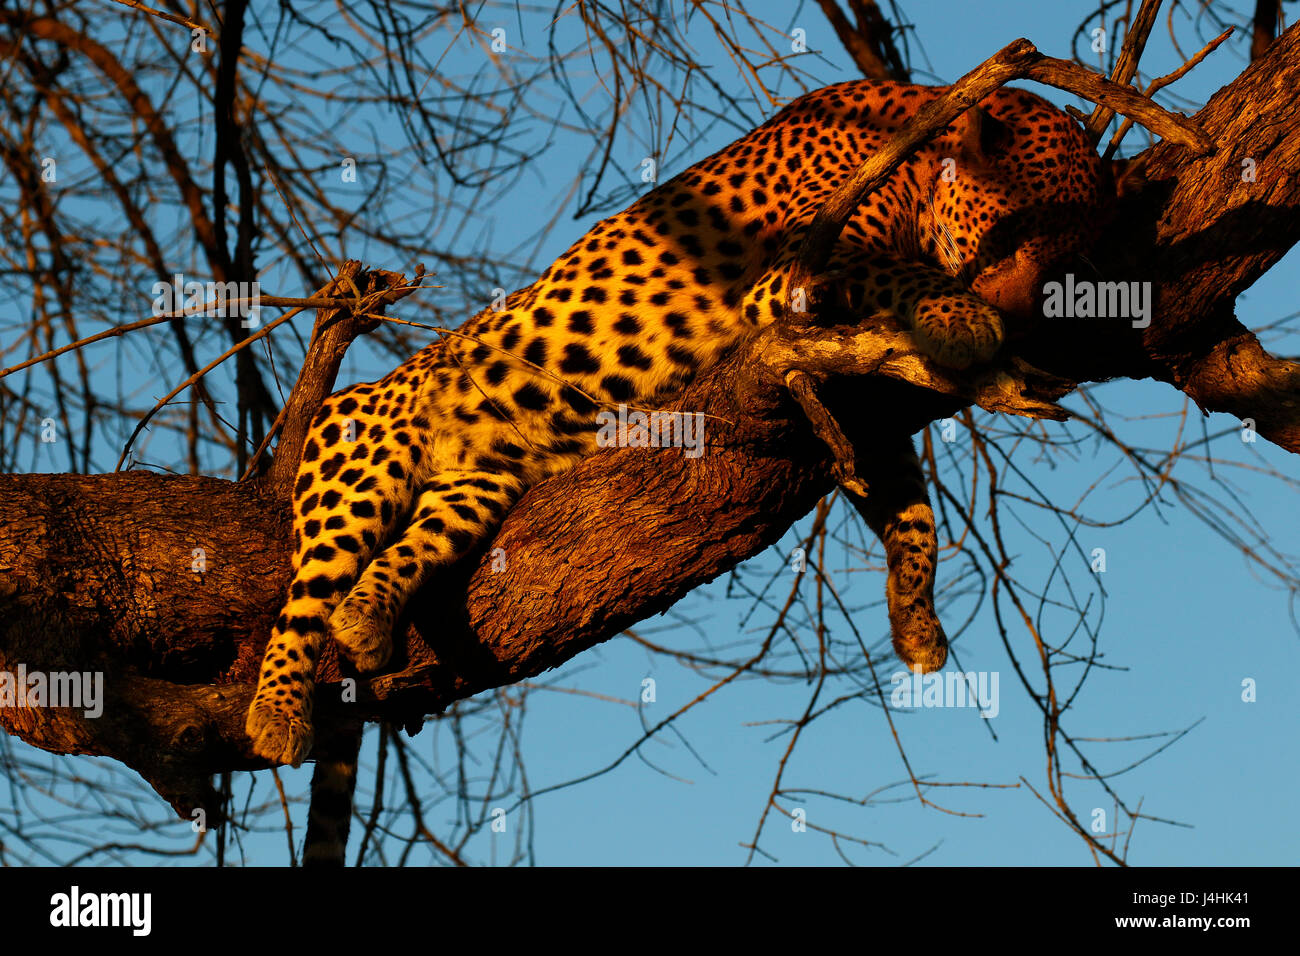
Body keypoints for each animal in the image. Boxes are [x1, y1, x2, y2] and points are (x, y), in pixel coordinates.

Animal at [245, 79, 1107, 854]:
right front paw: (965, 318)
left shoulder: (852, 390)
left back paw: (368, 615)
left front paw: (915, 617)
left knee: (392, 559)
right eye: (1018, 233)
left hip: (470, 490)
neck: (915, 156)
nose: (1026, 311)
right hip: (354, 464)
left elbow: (908, 505)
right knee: (300, 601)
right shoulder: (797, 275)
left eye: (1068, 258)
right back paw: (278, 713)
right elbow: (905, 277)